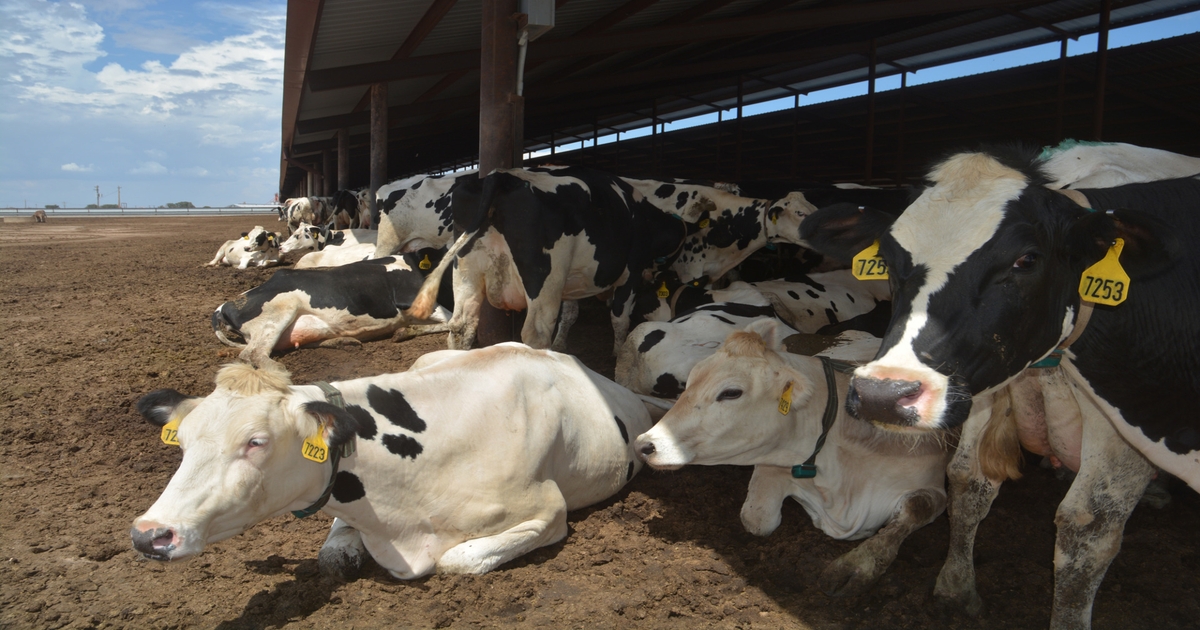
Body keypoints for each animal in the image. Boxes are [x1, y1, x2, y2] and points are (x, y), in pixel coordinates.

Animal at [131, 343, 656, 580]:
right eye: (182, 443)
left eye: (255, 442)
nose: (148, 534)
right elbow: (332, 552)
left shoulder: (548, 511)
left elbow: (458, 559)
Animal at [211, 249, 453, 366]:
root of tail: (225, 305)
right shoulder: (412, 299)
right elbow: (454, 320)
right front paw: (404, 332)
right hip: (279, 312)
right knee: (252, 354)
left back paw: (344, 341)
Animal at [405, 165, 692, 354]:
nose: (655, 276)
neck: (644, 216)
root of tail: (502, 176)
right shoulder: (630, 272)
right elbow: (620, 319)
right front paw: (619, 355)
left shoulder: (571, 281)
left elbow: (571, 314)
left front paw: (561, 346)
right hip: (544, 277)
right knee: (536, 332)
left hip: (466, 270)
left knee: (461, 326)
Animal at [633, 319, 947, 597]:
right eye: (691, 381)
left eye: (731, 392)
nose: (645, 444)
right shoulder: (773, 462)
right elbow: (757, 518)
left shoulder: (936, 485)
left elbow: (915, 508)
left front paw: (856, 567)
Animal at [799, 144, 1200, 629]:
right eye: (890, 261)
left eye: (1026, 260)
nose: (884, 395)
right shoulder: (980, 381)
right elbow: (968, 482)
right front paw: (950, 585)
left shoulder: (1119, 427)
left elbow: (1086, 531)